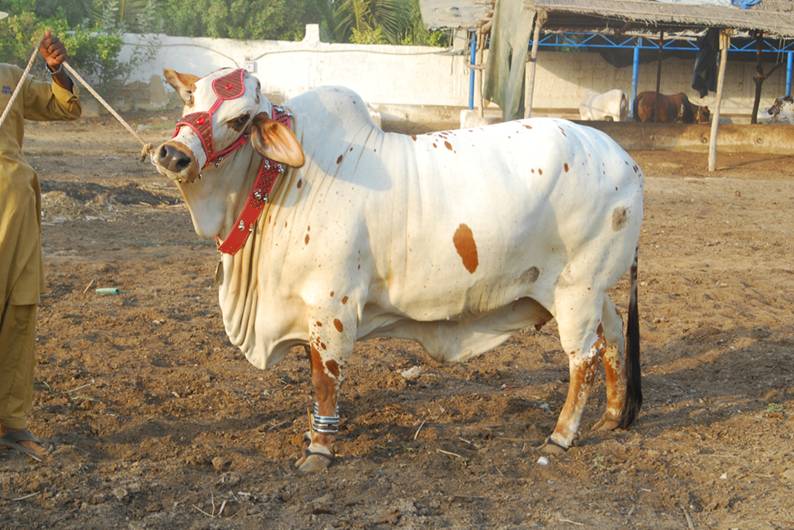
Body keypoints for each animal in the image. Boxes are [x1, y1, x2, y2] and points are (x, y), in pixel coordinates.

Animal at [152, 67, 644, 473]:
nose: (172, 154)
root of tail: (627, 160)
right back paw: (611, 416)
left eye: (239, 120)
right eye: (190, 98)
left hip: (576, 289)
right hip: (590, 289)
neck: (285, 182)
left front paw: (319, 448)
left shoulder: (331, 306)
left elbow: (324, 379)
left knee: (584, 357)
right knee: (615, 335)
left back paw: (561, 435)